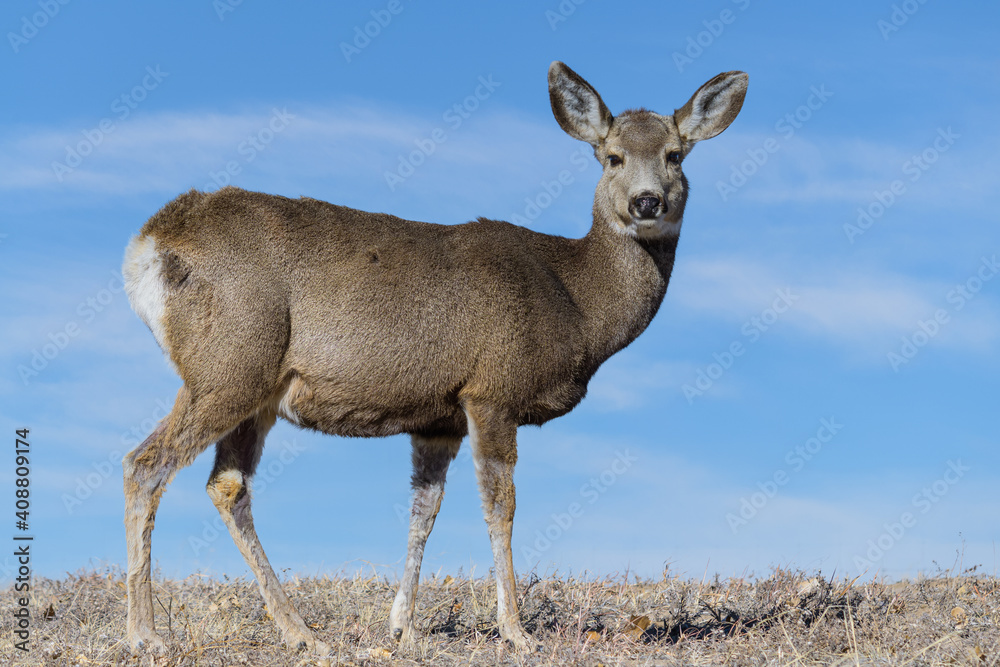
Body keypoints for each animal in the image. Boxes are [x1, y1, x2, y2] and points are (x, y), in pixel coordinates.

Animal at [121, 61, 747, 656]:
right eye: (612, 156)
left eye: (674, 154)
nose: (647, 201)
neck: (574, 300)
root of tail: (147, 244)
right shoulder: (491, 389)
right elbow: (500, 507)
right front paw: (516, 631)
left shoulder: (437, 416)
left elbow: (424, 510)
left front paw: (403, 626)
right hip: (228, 364)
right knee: (145, 464)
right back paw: (146, 633)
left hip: (254, 389)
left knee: (227, 485)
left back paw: (300, 632)